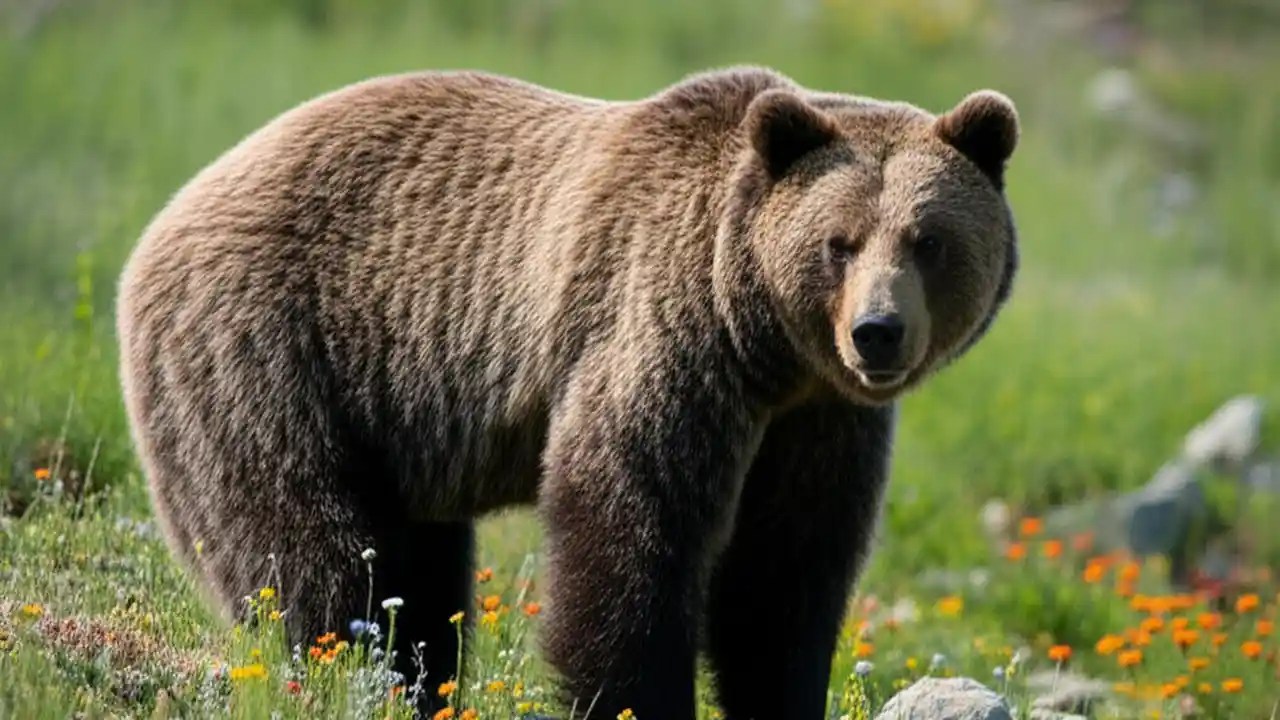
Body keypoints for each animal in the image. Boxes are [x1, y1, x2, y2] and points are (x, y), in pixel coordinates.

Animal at [116, 65, 1019, 719]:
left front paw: (781, 693)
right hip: (270, 350)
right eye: (840, 241)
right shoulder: (660, 332)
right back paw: (357, 676)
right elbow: (629, 529)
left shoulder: (817, 423)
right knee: (318, 561)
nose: (878, 331)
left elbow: (786, 570)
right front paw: (637, 699)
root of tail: (163, 219)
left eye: (928, 240)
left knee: (418, 576)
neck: (764, 346)